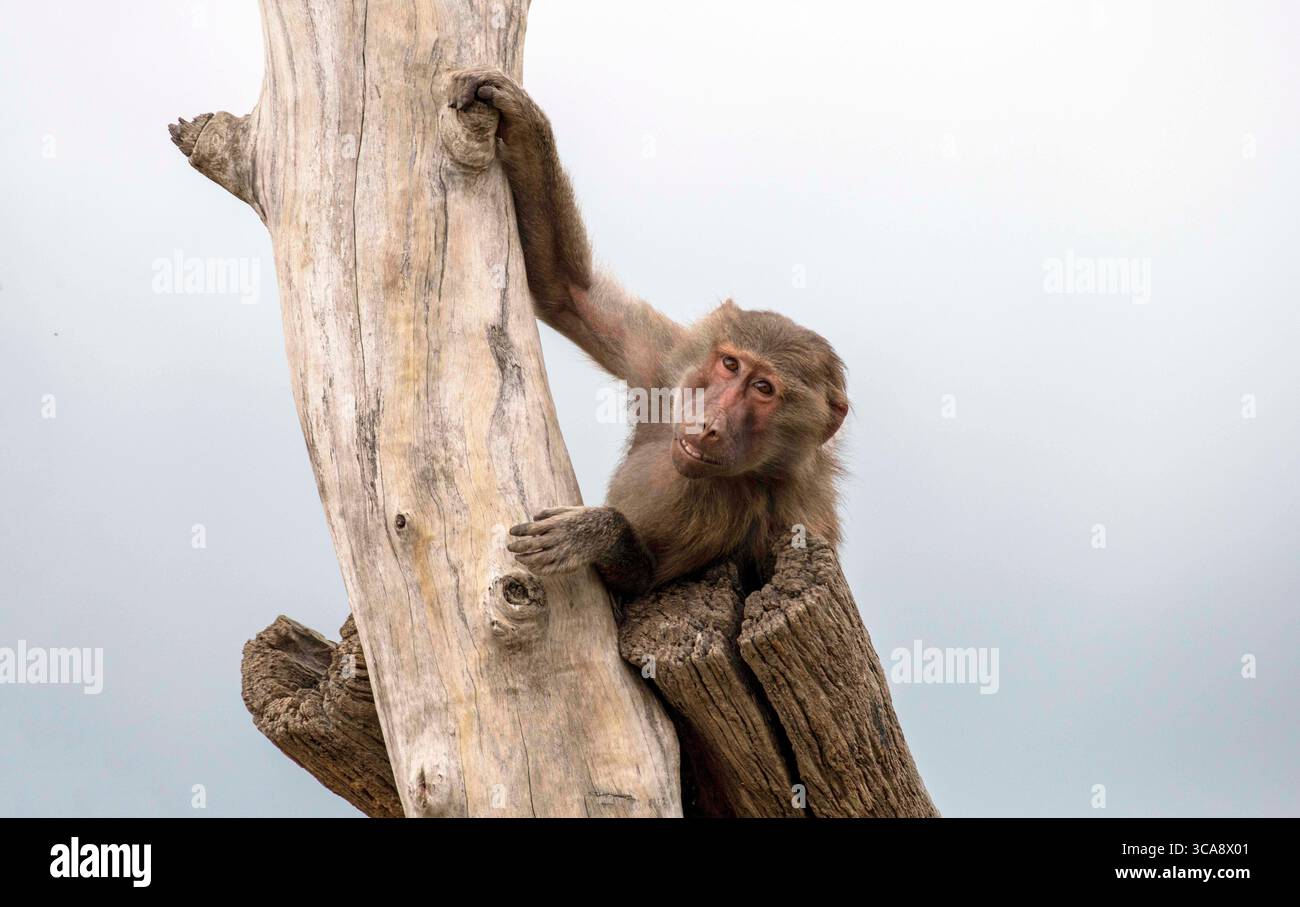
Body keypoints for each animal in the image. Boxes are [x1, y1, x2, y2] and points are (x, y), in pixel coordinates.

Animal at [448, 69, 849, 602]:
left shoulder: (747, 513)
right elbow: (566, 288)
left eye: (764, 389)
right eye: (730, 364)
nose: (707, 424)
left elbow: (642, 588)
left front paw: (595, 534)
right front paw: (522, 117)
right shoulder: (665, 361)